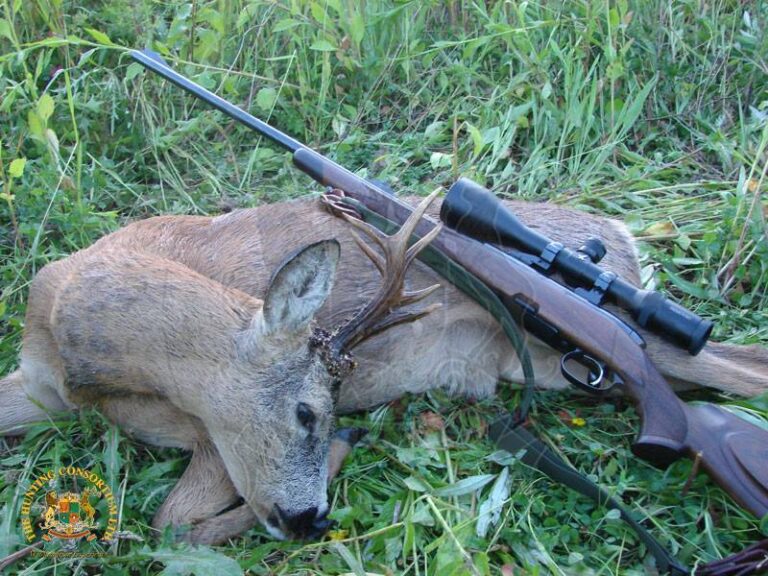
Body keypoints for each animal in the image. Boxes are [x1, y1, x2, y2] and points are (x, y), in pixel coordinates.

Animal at [2, 190, 767, 545]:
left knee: (741, 363)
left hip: (621, 346)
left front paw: (347, 448)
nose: (309, 519)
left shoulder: (211, 437)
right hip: (556, 368)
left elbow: (170, 522)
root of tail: (626, 242)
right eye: (306, 408)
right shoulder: (38, 384)